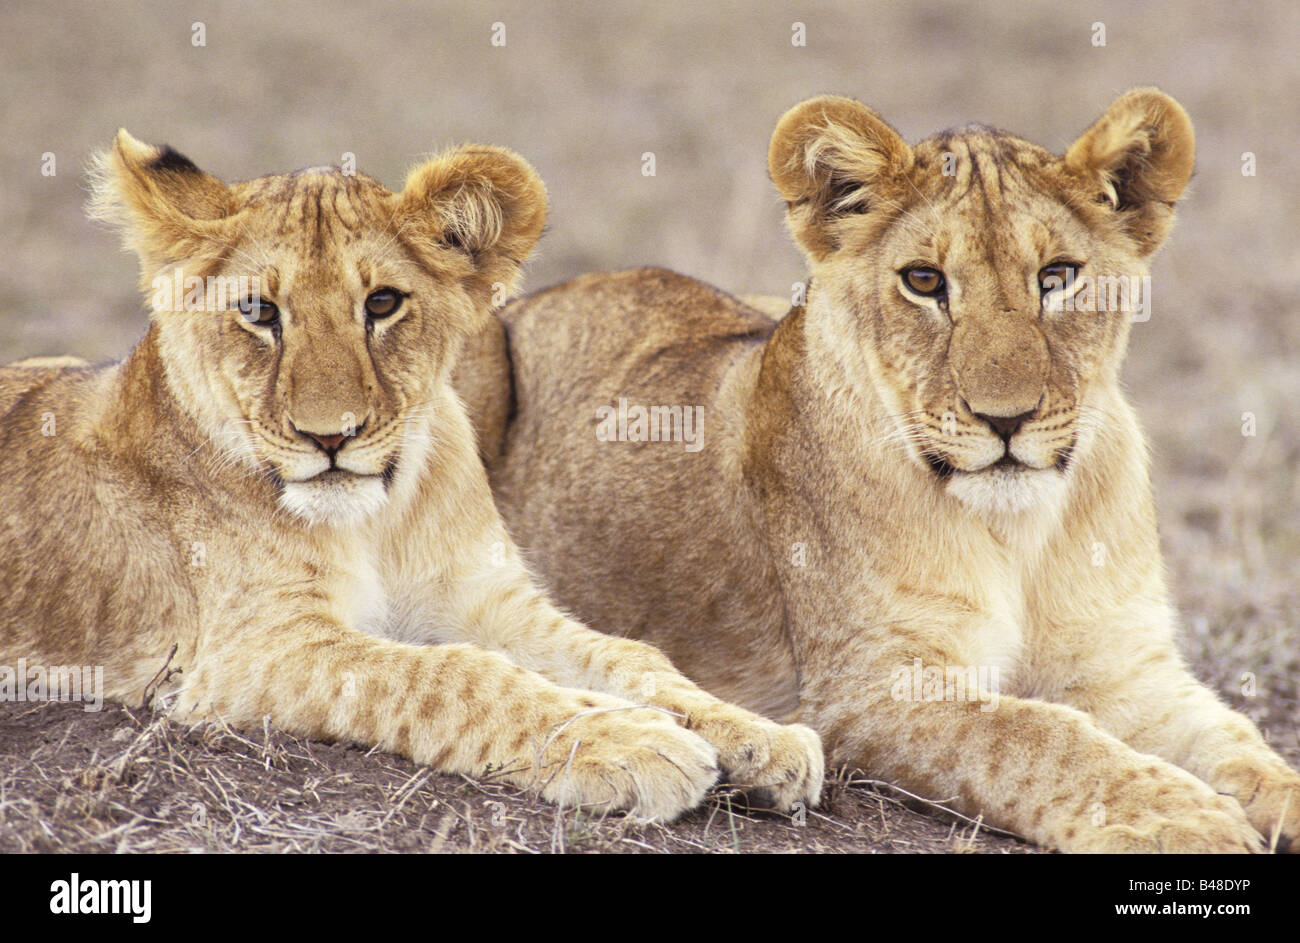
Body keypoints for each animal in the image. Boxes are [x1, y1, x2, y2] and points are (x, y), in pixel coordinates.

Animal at [0, 131, 823, 822]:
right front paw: (633, 741)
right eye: (260, 310)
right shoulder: (248, 654)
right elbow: (451, 675)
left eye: (383, 303)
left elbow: (628, 655)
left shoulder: (487, 597)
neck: (377, 519)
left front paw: (764, 737)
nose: (330, 436)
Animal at [457, 89, 1300, 852]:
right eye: (924, 281)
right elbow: (1040, 735)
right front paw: (1180, 819)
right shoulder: (875, 688)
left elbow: (1238, 741)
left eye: (1058, 275)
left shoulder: (1128, 669)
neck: (1022, 529)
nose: (1005, 419)